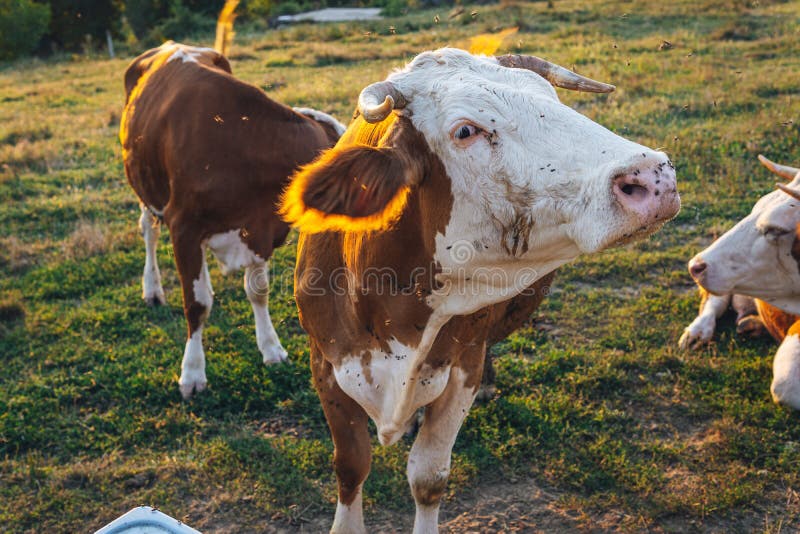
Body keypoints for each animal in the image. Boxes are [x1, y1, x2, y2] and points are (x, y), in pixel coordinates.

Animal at [120, 42, 344, 398]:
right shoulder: (183, 227)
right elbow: (196, 304)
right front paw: (192, 372)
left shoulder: (261, 231)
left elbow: (258, 291)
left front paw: (271, 348)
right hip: (145, 188)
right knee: (149, 233)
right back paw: (152, 289)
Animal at [279, 48, 681, 533]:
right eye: (466, 131)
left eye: (553, 100)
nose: (653, 175)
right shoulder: (325, 363)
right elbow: (351, 466)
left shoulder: (461, 367)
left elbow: (428, 476)